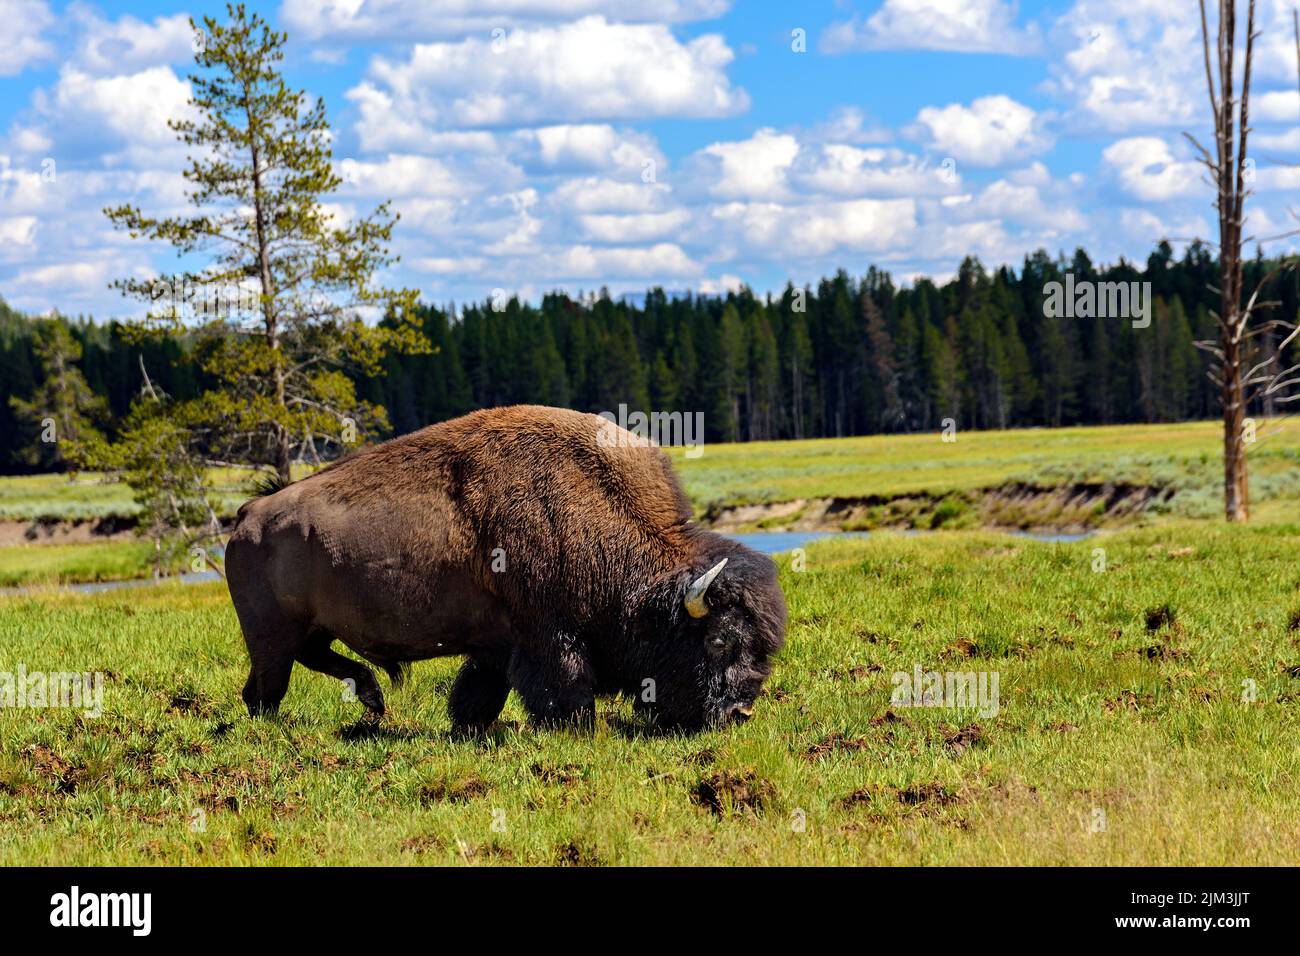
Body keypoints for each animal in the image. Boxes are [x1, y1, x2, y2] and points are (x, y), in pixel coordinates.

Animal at [225, 405, 787, 733]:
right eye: (720, 640)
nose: (740, 712)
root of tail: (249, 515)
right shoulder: (547, 636)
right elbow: (562, 688)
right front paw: (579, 729)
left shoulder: (496, 644)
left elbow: (480, 691)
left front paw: (467, 728)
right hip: (272, 637)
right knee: (265, 690)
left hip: (308, 630)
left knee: (309, 663)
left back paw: (372, 700)